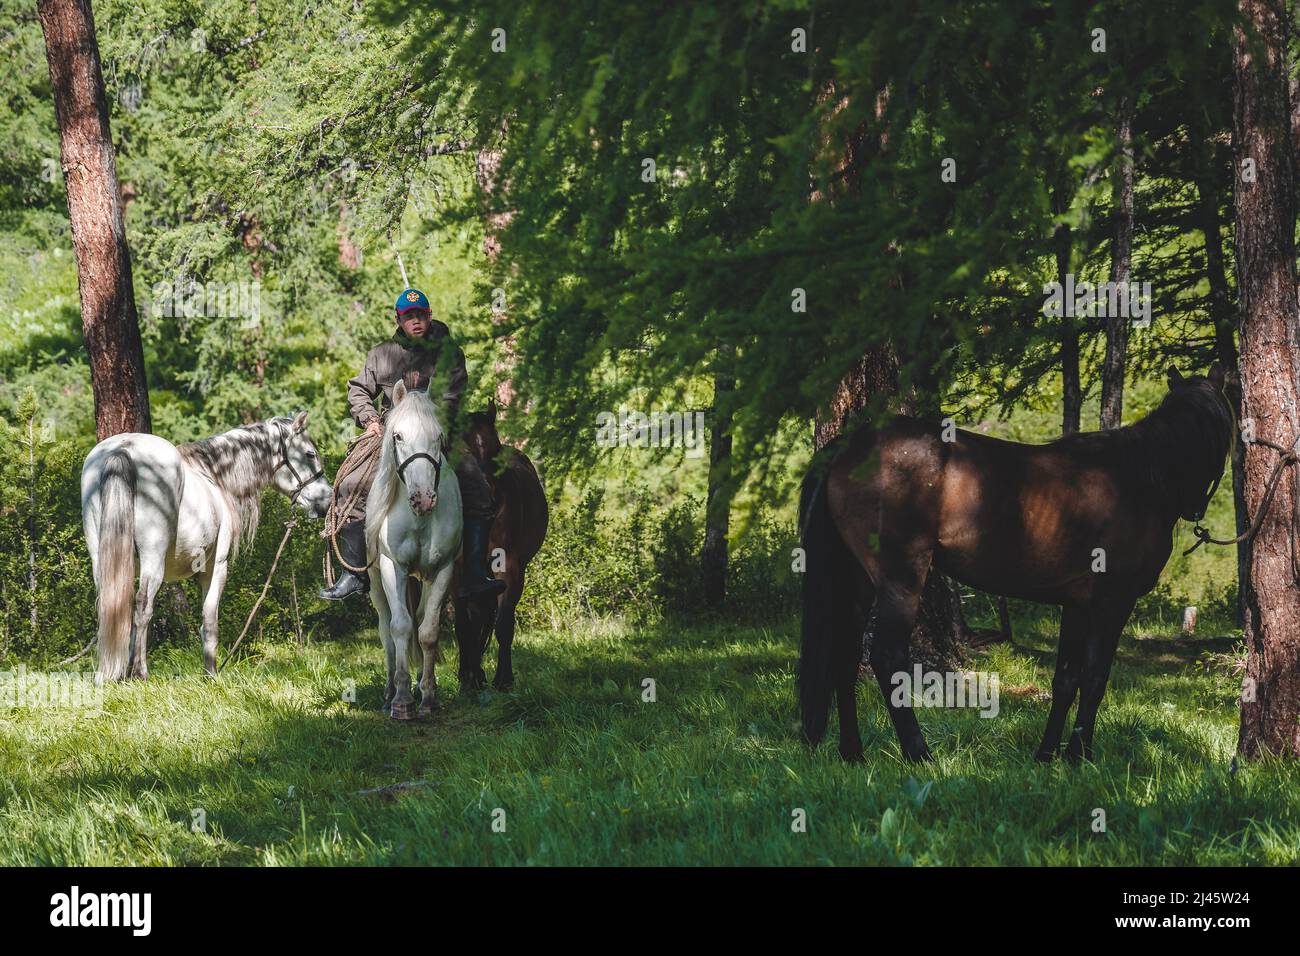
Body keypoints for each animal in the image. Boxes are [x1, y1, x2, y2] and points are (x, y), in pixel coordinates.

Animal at [81, 411, 332, 681]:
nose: (327, 501)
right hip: (153, 560)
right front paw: (211, 673)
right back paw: (140, 672)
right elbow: (209, 620)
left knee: (113, 606)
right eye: (310, 454)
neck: (213, 476)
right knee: (142, 607)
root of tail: (123, 448)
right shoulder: (215, 568)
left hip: (101, 559)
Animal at [365, 380, 463, 720]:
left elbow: (428, 631)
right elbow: (400, 627)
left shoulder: (444, 568)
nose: (424, 499)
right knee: (386, 629)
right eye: (398, 436)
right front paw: (402, 700)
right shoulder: (392, 566)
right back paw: (388, 691)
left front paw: (428, 695)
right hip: (375, 582)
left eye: (438, 436)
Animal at [455, 402, 548, 691]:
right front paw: (467, 678)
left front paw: (503, 679)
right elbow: (463, 625)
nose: (488, 500)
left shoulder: (509, 566)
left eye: (496, 452)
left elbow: (503, 623)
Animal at [799, 364, 1235, 765]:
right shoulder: (1113, 602)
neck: (1140, 477)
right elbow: (1095, 679)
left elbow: (1066, 680)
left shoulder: (1077, 605)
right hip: (900, 581)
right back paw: (918, 752)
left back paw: (853, 753)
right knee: (887, 658)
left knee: (845, 657)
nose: (1197, 507)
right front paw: (1079, 755)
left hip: (857, 582)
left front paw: (1047, 755)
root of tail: (851, 444)